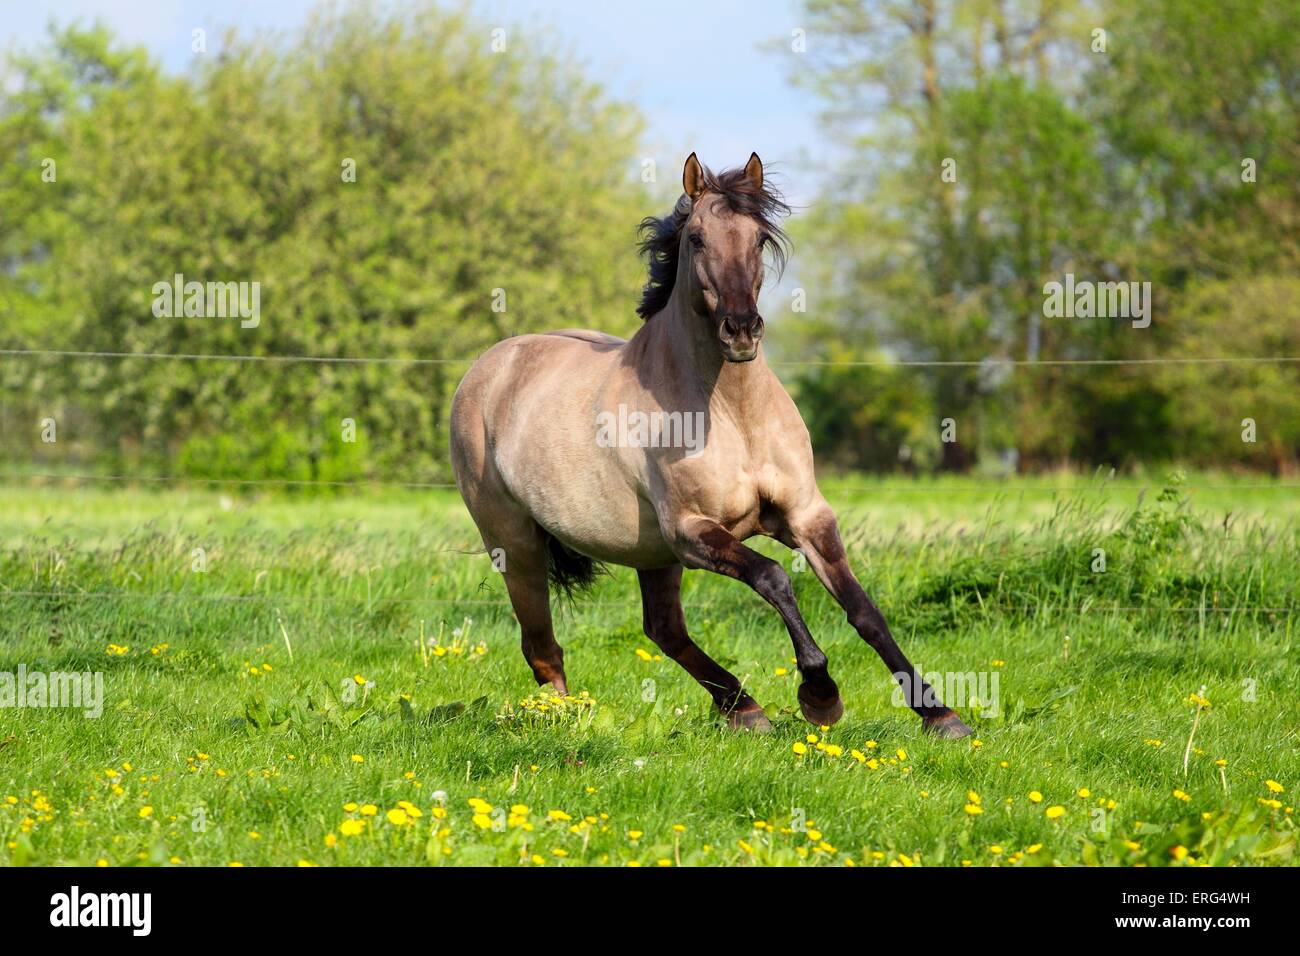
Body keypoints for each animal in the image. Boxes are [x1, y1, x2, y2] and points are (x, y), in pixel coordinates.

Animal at [450, 152, 972, 738]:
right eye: (697, 238)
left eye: (759, 238)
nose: (741, 330)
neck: (734, 418)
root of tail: (490, 365)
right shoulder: (693, 531)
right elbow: (772, 577)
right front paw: (820, 693)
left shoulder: (807, 516)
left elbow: (864, 611)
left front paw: (940, 713)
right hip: (516, 542)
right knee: (543, 647)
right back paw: (570, 720)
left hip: (650, 552)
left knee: (663, 629)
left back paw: (742, 708)